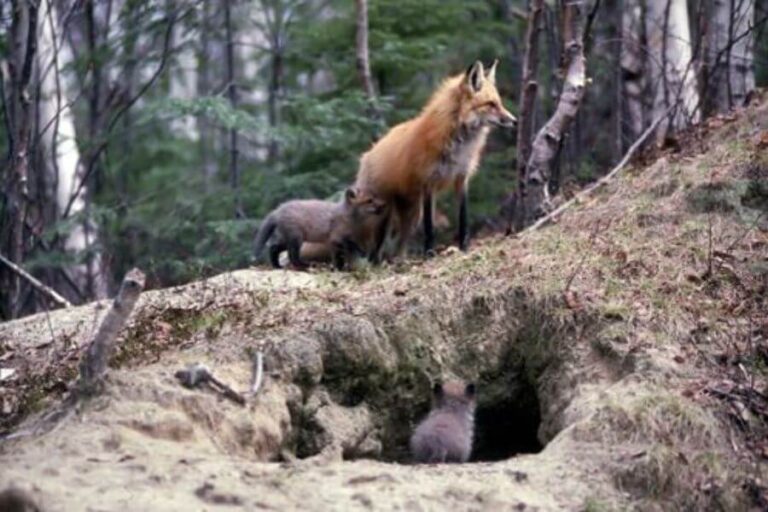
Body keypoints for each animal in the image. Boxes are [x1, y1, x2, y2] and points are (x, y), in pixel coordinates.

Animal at [252, 187, 388, 270]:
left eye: (375, 196)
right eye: (369, 200)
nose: (383, 204)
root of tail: (278, 210)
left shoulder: (337, 242)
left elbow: (340, 258)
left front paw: (339, 269)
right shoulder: (337, 239)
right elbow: (349, 250)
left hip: (287, 240)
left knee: (273, 248)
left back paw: (277, 266)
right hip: (296, 239)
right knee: (292, 257)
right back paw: (303, 265)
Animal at [355, 59, 516, 260]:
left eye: (499, 103)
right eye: (490, 104)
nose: (515, 121)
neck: (459, 144)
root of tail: (368, 154)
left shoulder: (461, 178)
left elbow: (463, 219)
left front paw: (463, 248)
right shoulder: (428, 182)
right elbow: (430, 228)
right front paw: (429, 254)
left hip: (411, 215)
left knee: (398, 246)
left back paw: (399, 261)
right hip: (381, 217)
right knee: (374, 251)